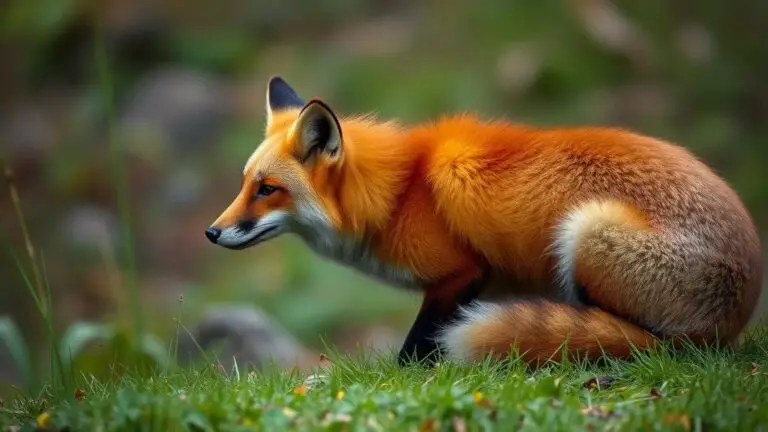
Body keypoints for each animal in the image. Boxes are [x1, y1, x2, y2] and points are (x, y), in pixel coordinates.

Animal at [205, 76, 763, 366]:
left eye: (267, 190)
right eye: (244, 183)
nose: (212, 232)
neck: (401, 191)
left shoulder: (459, 275)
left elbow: (418, 344)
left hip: (585, 231)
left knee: (637, 340)